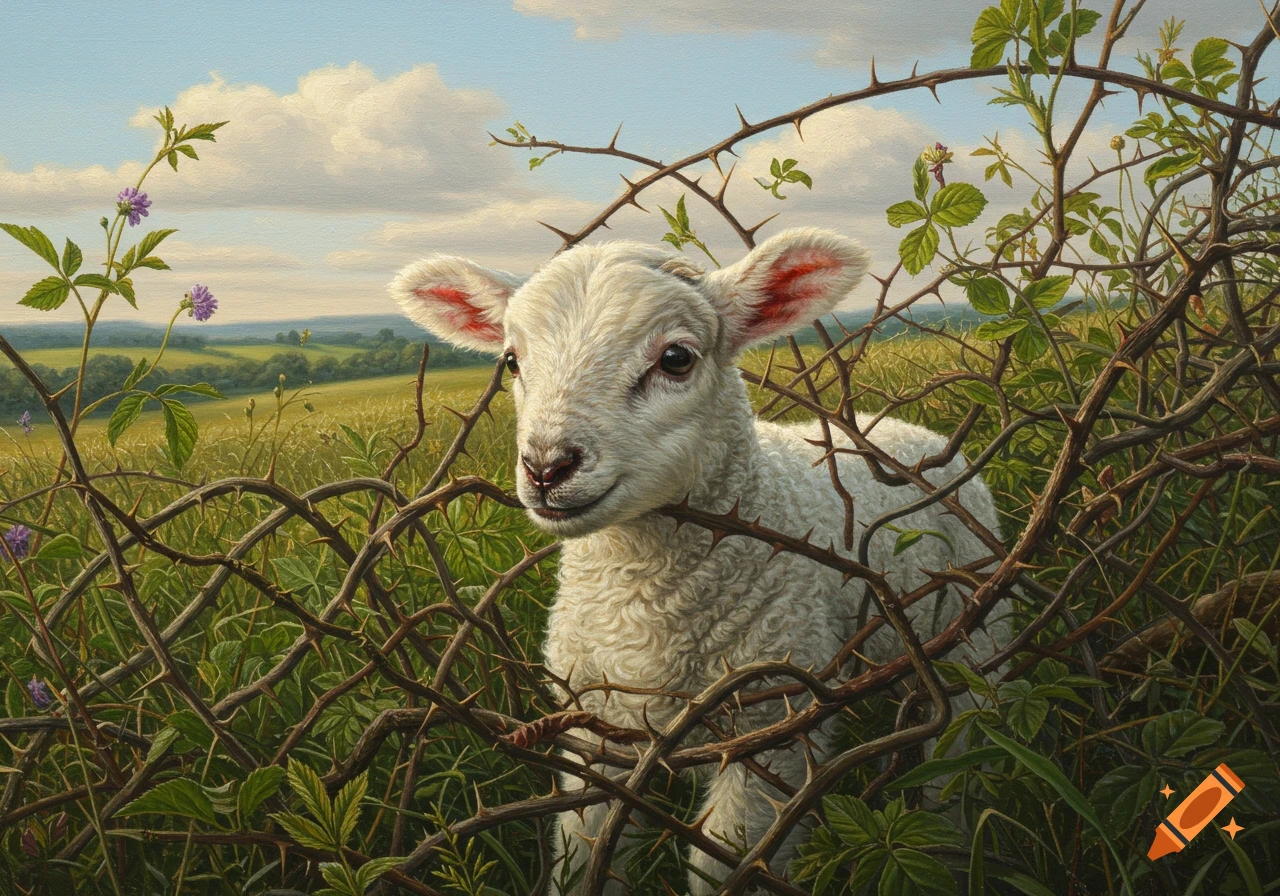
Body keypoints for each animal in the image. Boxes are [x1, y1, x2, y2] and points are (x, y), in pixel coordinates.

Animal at [389, 228, 1008, 895]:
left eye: (677, 359)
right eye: (511, 362)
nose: (548, 467)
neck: (644, 595)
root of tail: (908, 429)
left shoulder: (769, 725)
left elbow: (719, 867)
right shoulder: (595, 731)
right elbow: (580, 856)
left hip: (976, 646)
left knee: (959, 760)